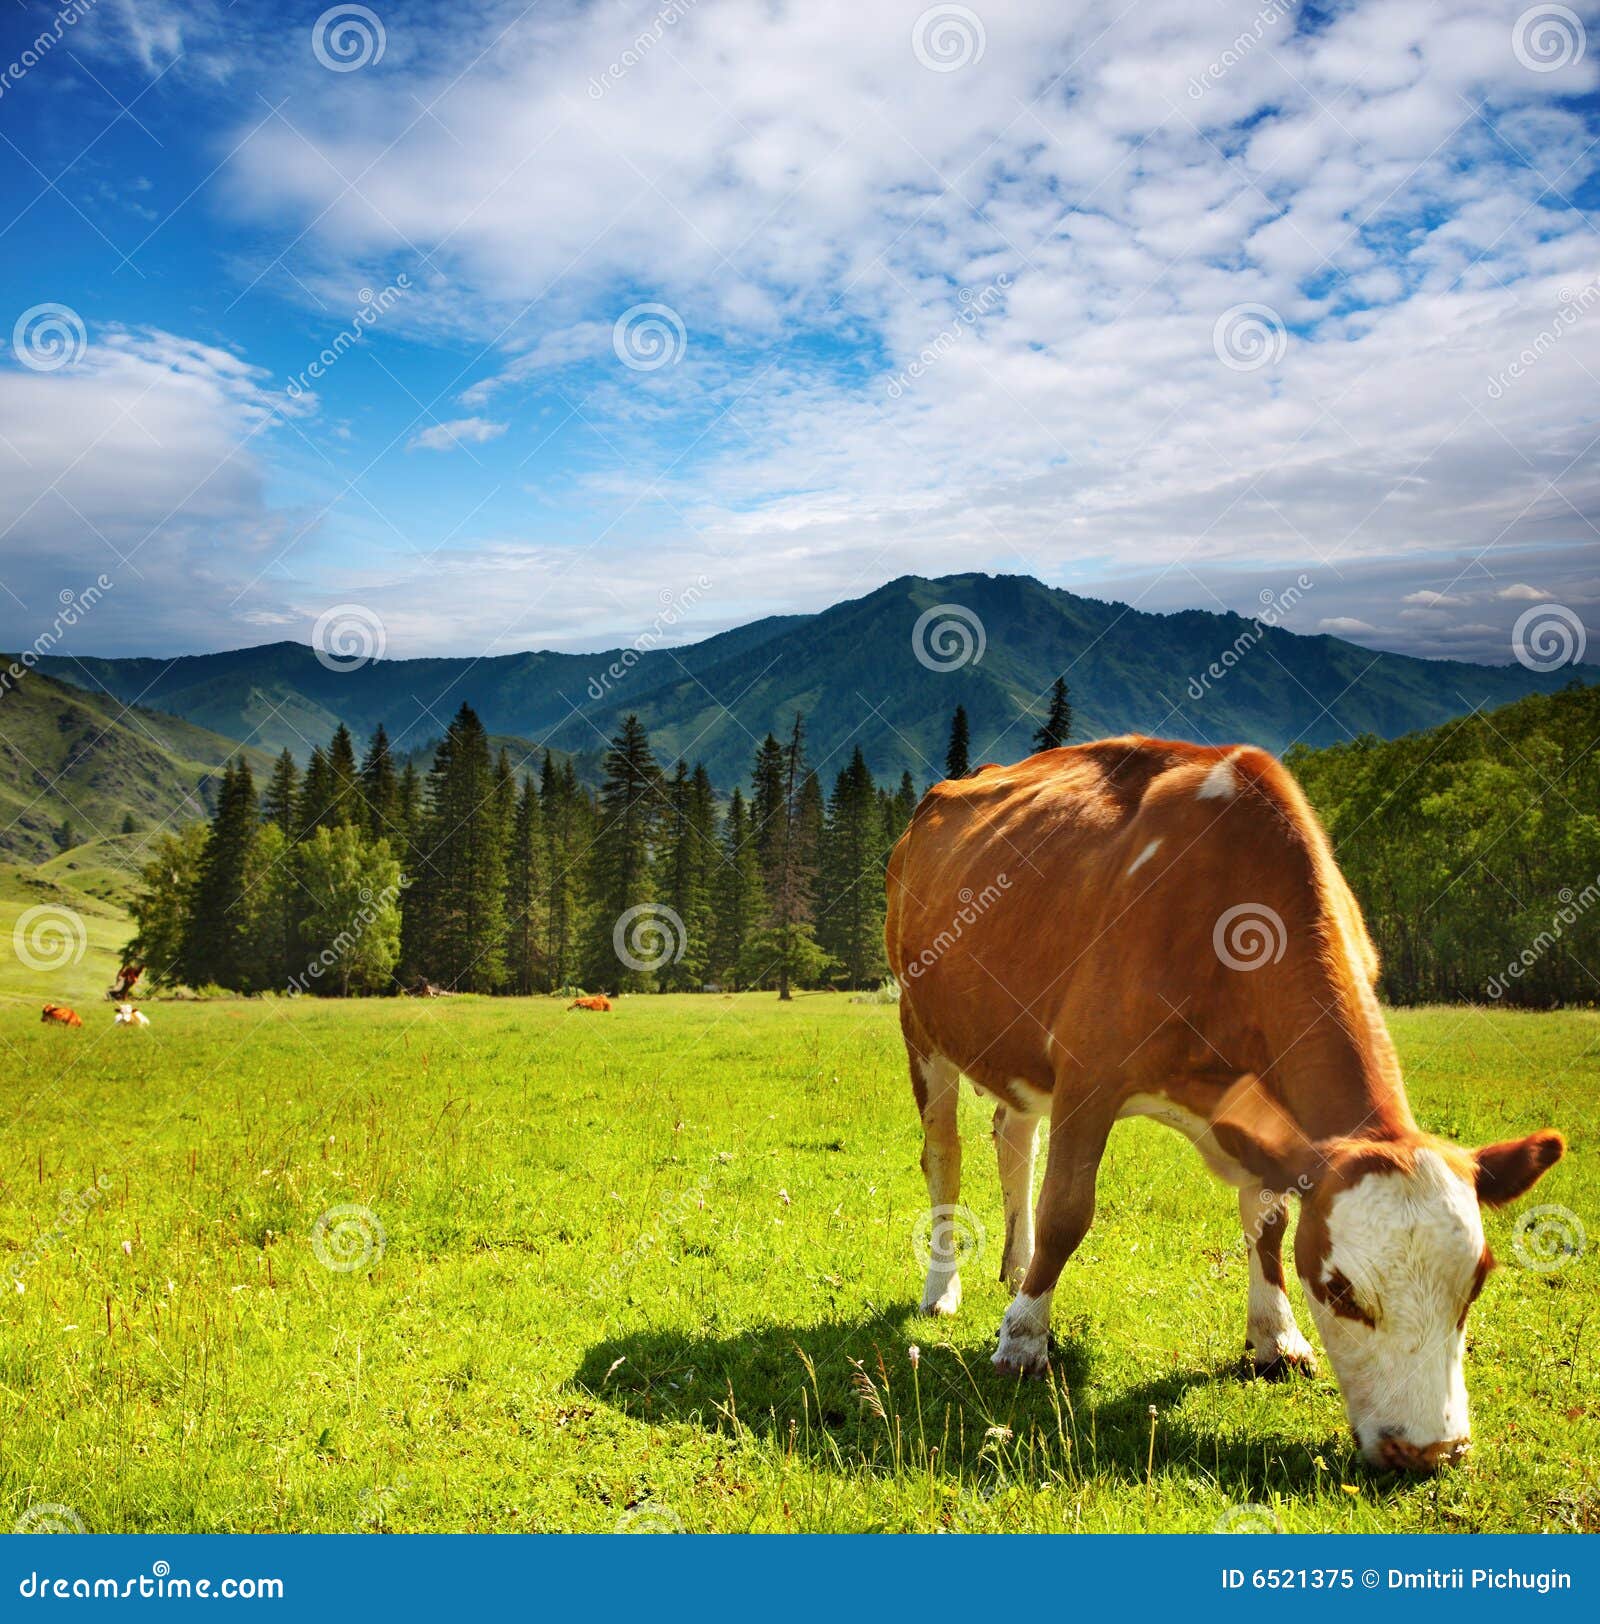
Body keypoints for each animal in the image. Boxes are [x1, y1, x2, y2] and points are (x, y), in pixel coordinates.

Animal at [885, 736, 1565, 1473]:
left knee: (1014, 1136)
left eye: (1477, 1281)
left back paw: (1015, 1266)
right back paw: (943, 1289)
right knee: (944, 1156)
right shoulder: (1088, 1070)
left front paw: (1277, 1338)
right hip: (921, 1022)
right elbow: (1066, 1210)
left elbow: (1269, 1220)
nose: (1430, 1449)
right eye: (1340, 1288)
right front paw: (1023, 1340)